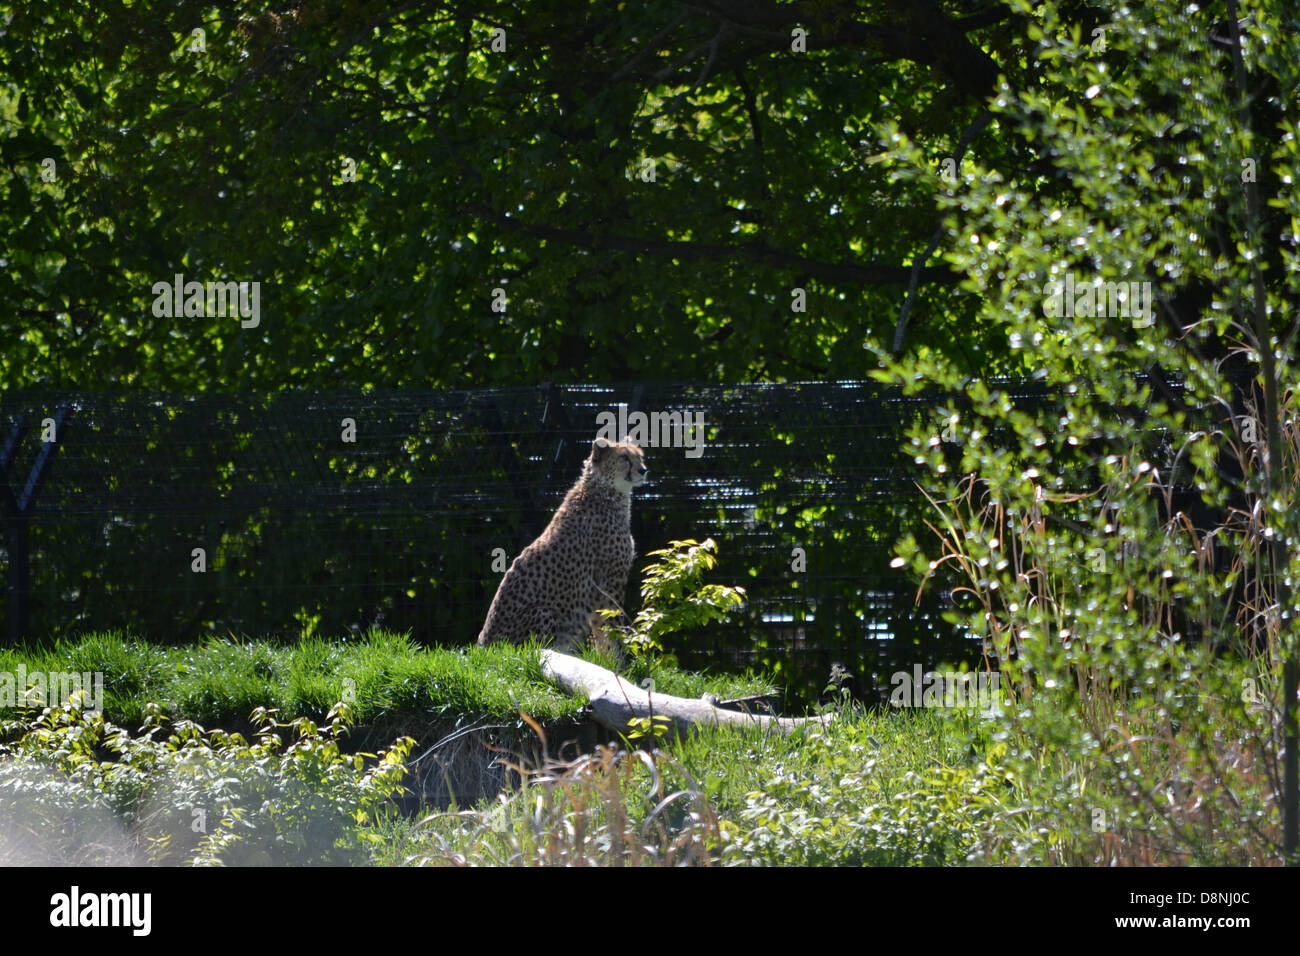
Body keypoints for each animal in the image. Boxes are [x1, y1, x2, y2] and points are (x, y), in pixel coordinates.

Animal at [477, 435, 648, 653]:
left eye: (640, 457)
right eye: (624, 457)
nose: (643, 470)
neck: (605, 490)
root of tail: (483, 646)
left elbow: (602, 633)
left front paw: (609, 659)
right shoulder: (609, 584)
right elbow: (613, 628)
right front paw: (622, 659)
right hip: (542, 614)